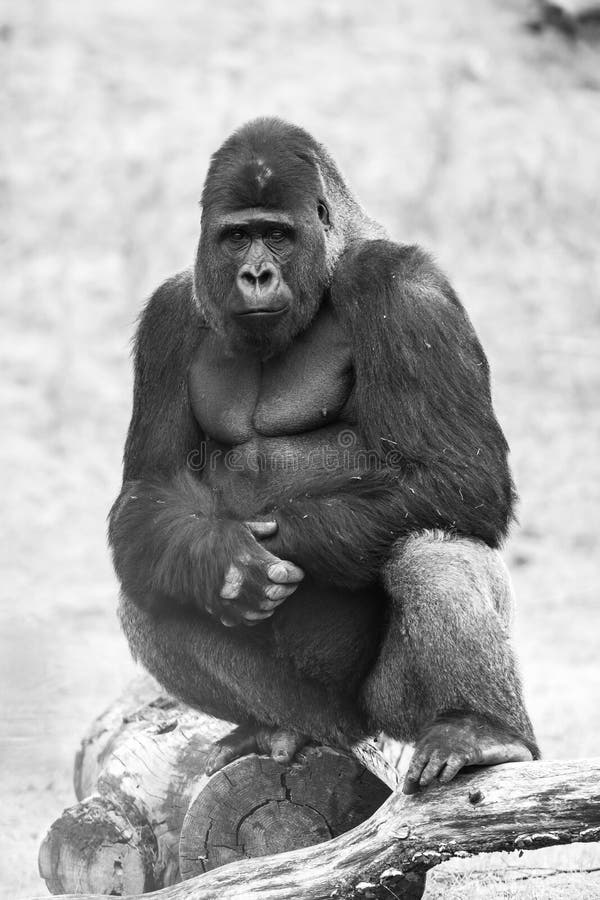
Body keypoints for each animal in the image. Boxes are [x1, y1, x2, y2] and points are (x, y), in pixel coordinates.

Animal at [109, 117, 538, 795]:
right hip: (311, 709)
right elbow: (147, 495)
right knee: (149, 580)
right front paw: (221, 553)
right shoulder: (167, 316)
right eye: (237, 237)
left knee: (434, 544)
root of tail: (352, 731)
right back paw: (270, 726)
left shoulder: (406, 287)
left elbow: (463, 477)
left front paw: (279, 542)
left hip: (391, 708)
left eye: (278, 236)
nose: (256, 275)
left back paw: (480, 729)